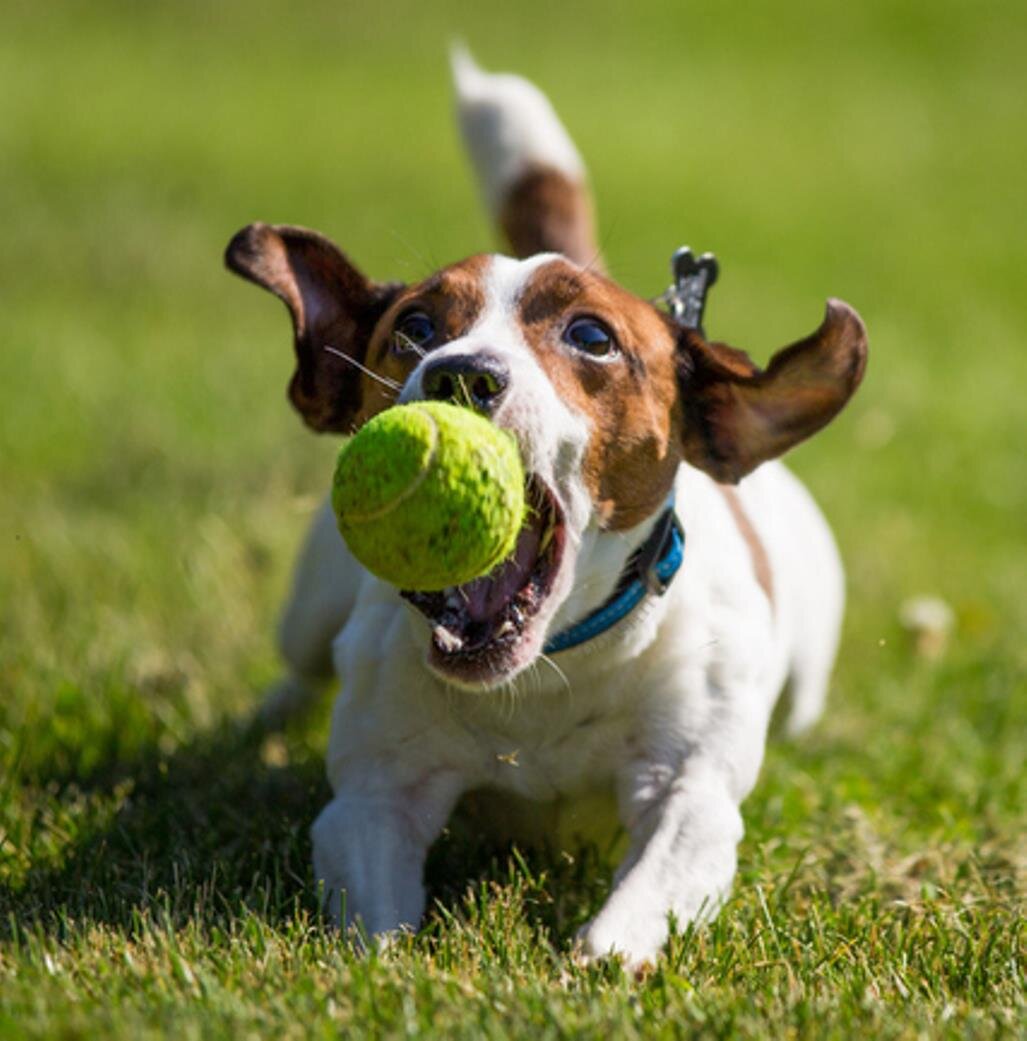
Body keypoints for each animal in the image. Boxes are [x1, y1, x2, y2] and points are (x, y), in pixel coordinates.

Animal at [222, 50, 865, 966]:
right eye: (414, 327)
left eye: (591, 337)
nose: (460, 373)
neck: (545, 674)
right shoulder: (374, 797)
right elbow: (376, 919)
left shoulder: (690, 800)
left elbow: (627, 922)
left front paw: (588, 968)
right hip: (312, 606)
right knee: (302, 662)